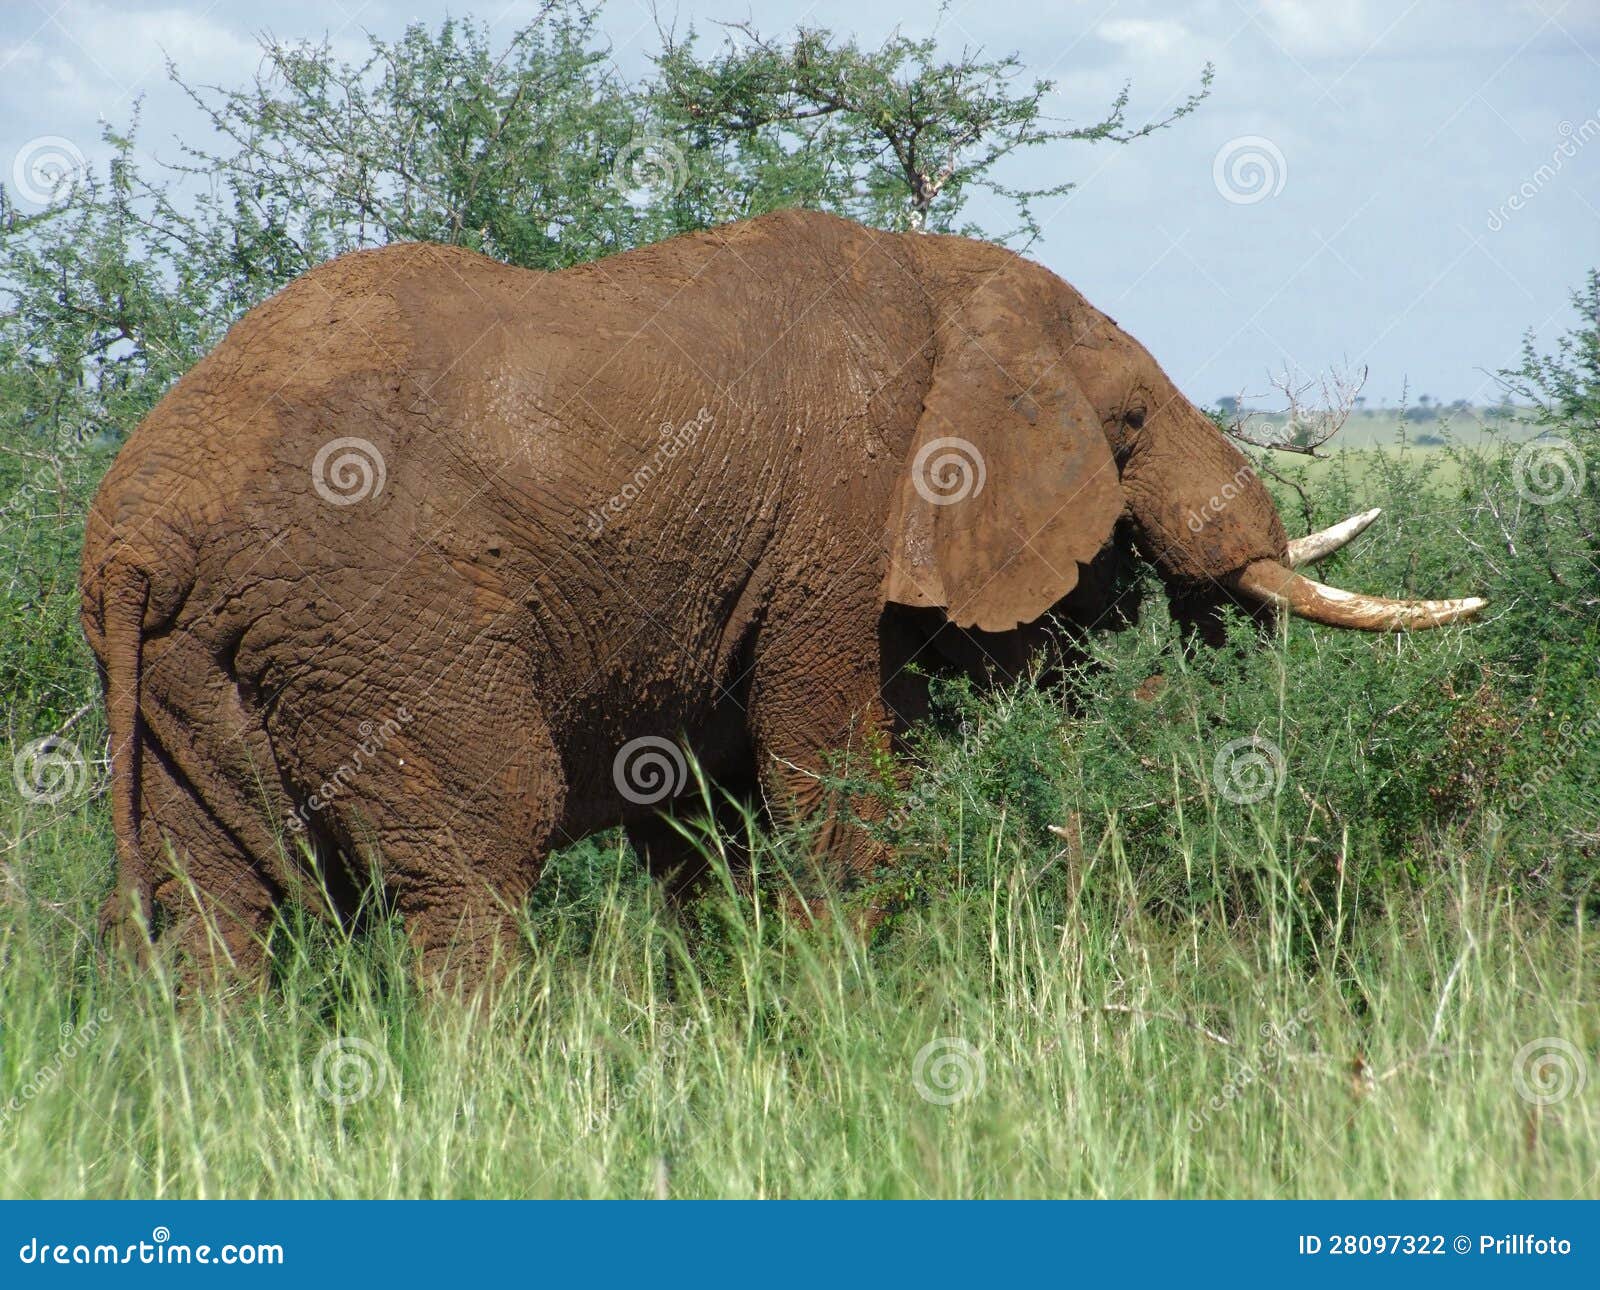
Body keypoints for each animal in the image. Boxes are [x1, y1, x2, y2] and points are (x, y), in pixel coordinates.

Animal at [79, 208, 1484, 987]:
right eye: (1131, 421)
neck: (939, 276)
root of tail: (140, 532)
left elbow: (701, 821)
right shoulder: (839, 530)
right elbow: (832, 774)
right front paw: (857, 1006)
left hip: (196, 671)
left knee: (217, 910)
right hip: (390, 625)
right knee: (475, 859)